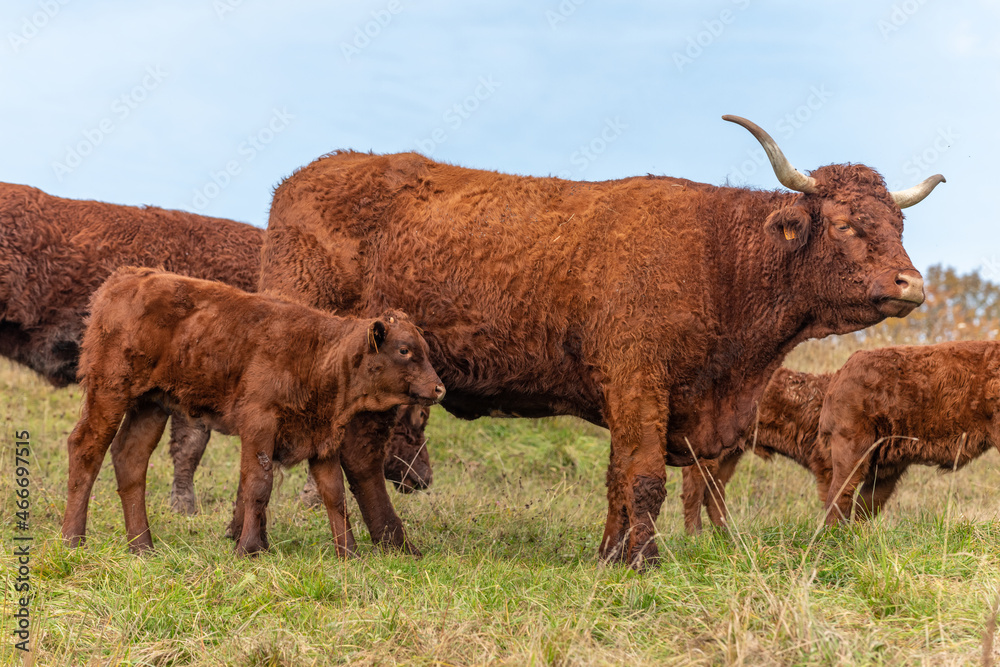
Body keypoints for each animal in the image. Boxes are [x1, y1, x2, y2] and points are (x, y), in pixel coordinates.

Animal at [61, 267, 445, 556]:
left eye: (424, 349)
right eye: (404, 349)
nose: (439, 388)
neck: (320, 354)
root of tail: (123, 280)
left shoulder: (321, 439)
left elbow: (334, 495)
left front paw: (349, 554)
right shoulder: (259, 424)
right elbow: (258, 485)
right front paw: (248, 548)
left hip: (151, 404)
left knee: (131, 459)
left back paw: (143, 547)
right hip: (110, 392)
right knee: (86, 449)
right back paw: (73, 540)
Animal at [681, 368, 832, 534]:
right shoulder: (826, 465)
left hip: (730, 455)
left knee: (714, 489)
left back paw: (725, 535)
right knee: (693, 490)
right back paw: (695, 535)